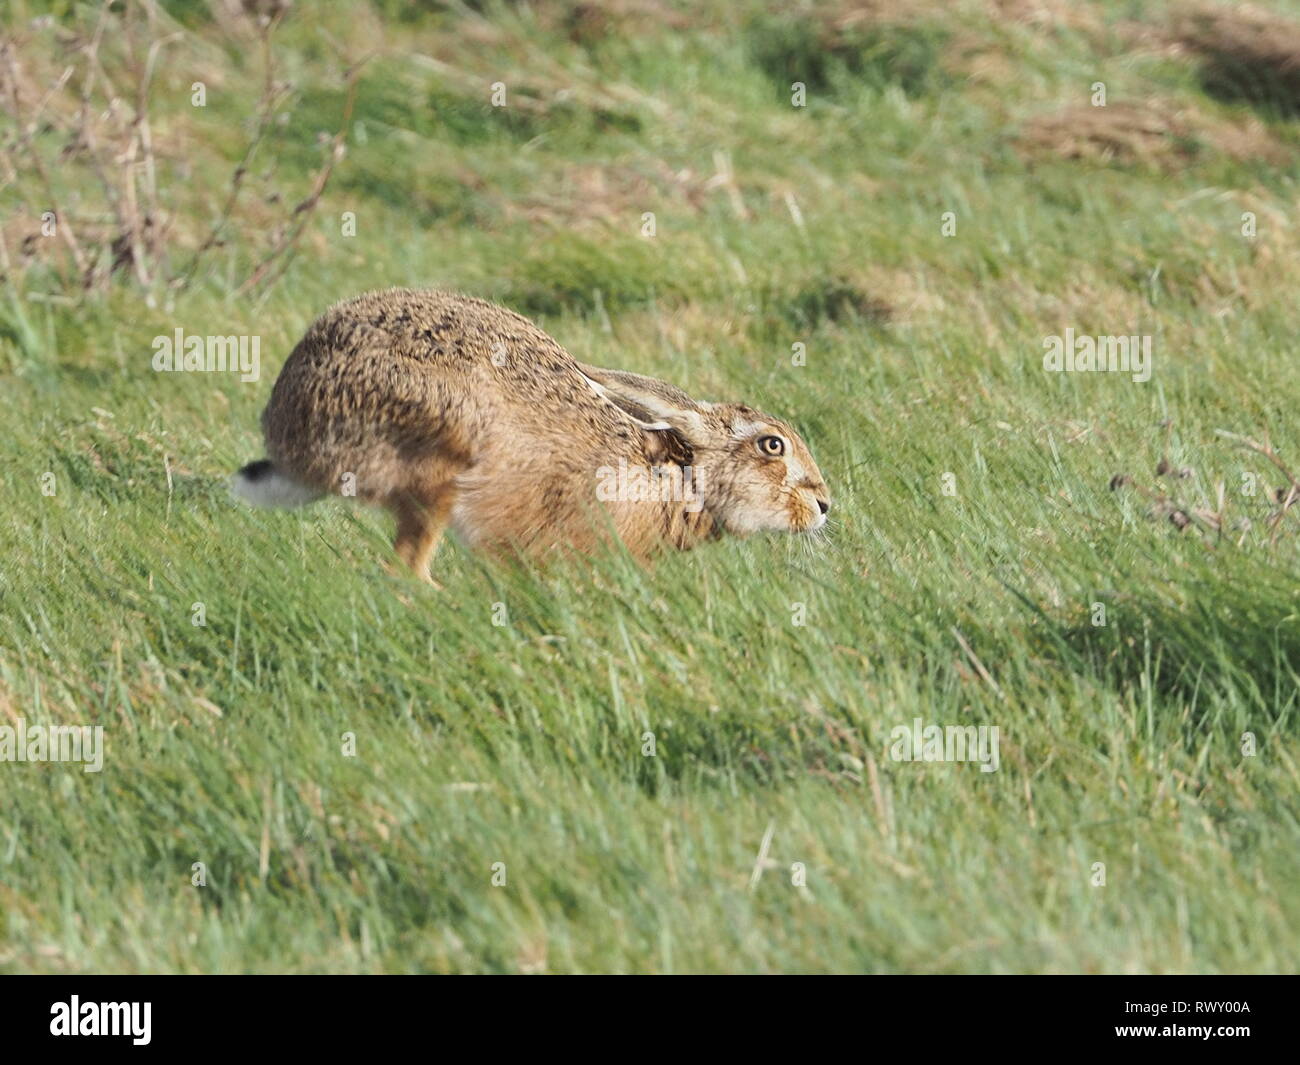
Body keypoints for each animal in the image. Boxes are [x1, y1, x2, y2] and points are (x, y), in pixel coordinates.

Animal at [233, 288, 831, 582]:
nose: (824, 504)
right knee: (406, 567)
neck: (679, 478)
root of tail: (290, 431)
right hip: (442, 460)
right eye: (772, 445)